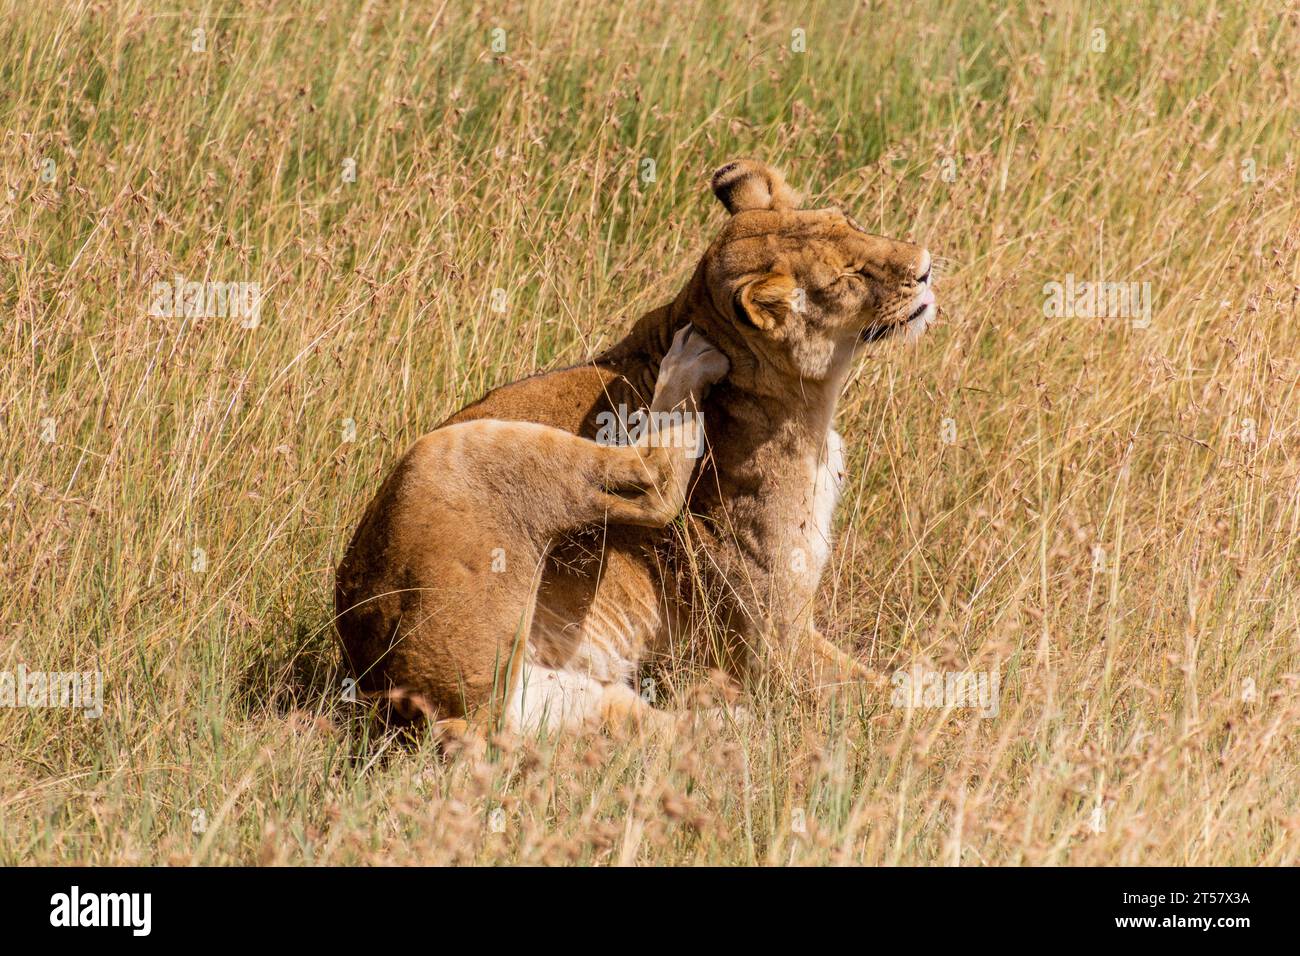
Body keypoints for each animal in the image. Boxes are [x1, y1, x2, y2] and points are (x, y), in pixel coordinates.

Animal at [335, 158, 936, 735]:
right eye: (851, 275)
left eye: (851, 222)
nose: (925, 267)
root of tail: (405, 694)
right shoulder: (769, 637)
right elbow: (890, 695)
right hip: (452, 453)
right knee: (650, 482)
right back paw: (688, 364)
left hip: (572, 701)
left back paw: (726, 722)